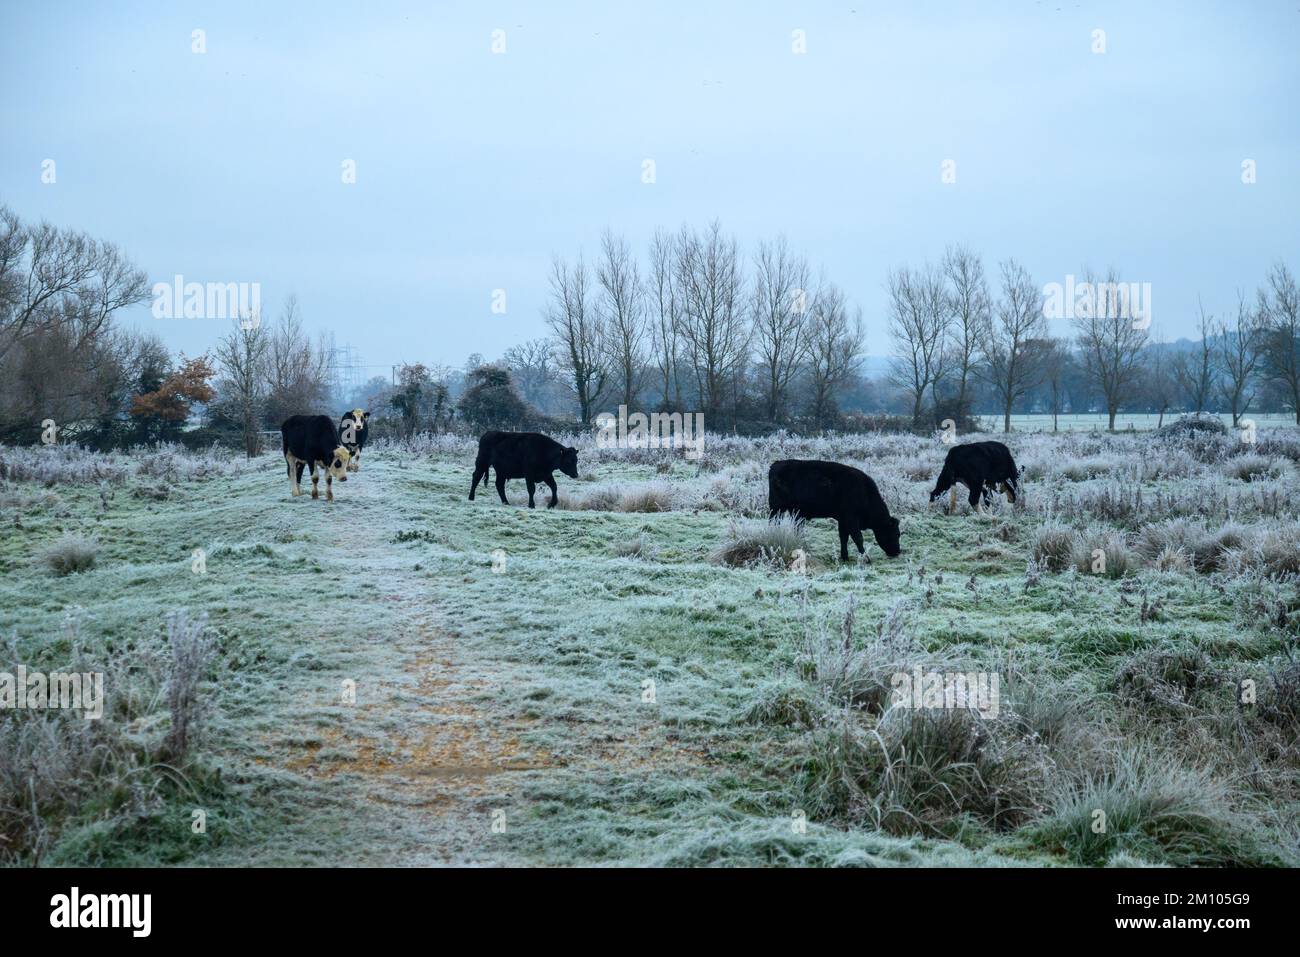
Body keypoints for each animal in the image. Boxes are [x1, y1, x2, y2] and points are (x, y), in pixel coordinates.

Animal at [768, 459, 901, 561]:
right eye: (895, 533)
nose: (897, 552)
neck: (866, 494)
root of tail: (775, 464)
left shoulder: (843, 521)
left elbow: (844, 538)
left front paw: (845, 557)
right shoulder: (851, 519)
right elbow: (858, 538)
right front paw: (866, 558)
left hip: (792, 513)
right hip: (776, 509)